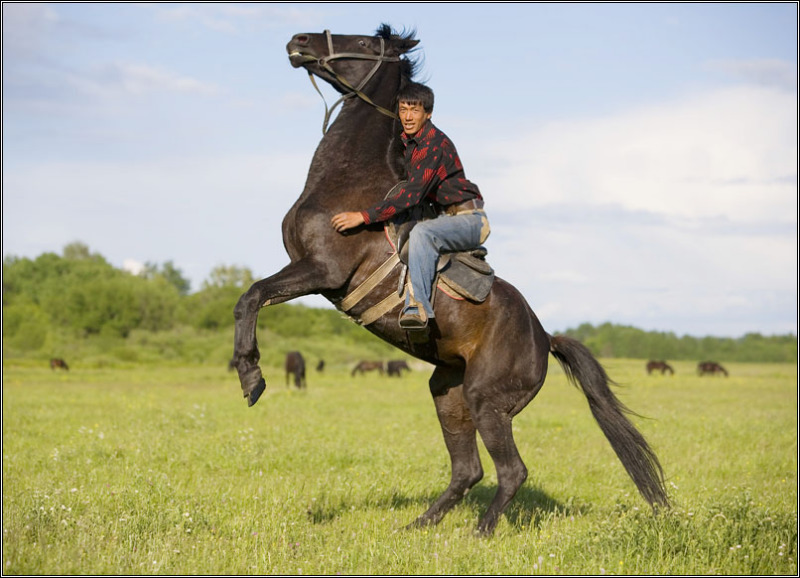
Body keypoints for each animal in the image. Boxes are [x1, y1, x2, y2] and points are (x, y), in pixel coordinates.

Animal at [233, 23, 668, 536]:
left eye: (362, 44)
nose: (299, 40)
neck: (349, 183)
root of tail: (544, 339)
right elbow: (251, 297)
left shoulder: (321, 271)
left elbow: (251, 297)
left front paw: (251, 378)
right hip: (448, 392)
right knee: (468, 470)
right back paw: (419, 524)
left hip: (486, 401)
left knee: (510, 470)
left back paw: (481, 531)